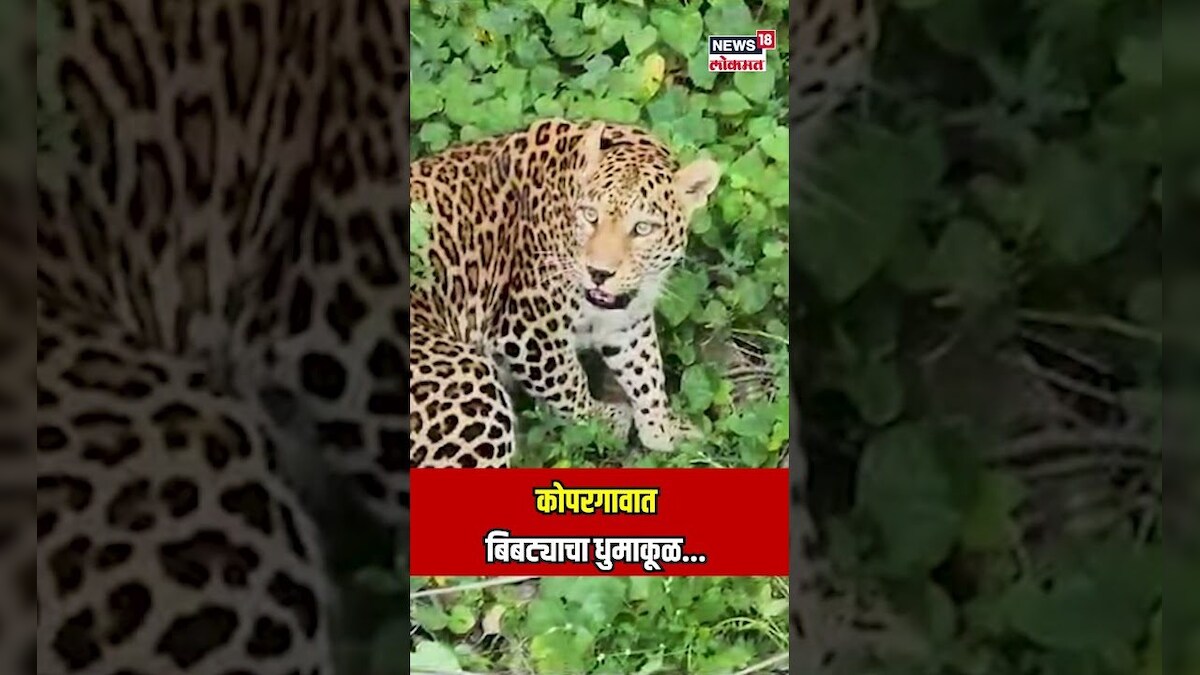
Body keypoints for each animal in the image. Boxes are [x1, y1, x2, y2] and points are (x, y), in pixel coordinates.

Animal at [408, 119, 720, 468]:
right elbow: (567, 380)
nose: (599, 273)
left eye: (642, 228)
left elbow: (646, 369)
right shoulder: (527, 328)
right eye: (590, 215)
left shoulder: (626, 318)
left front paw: (663, 428)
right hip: (472, 389)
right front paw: (603, 420)